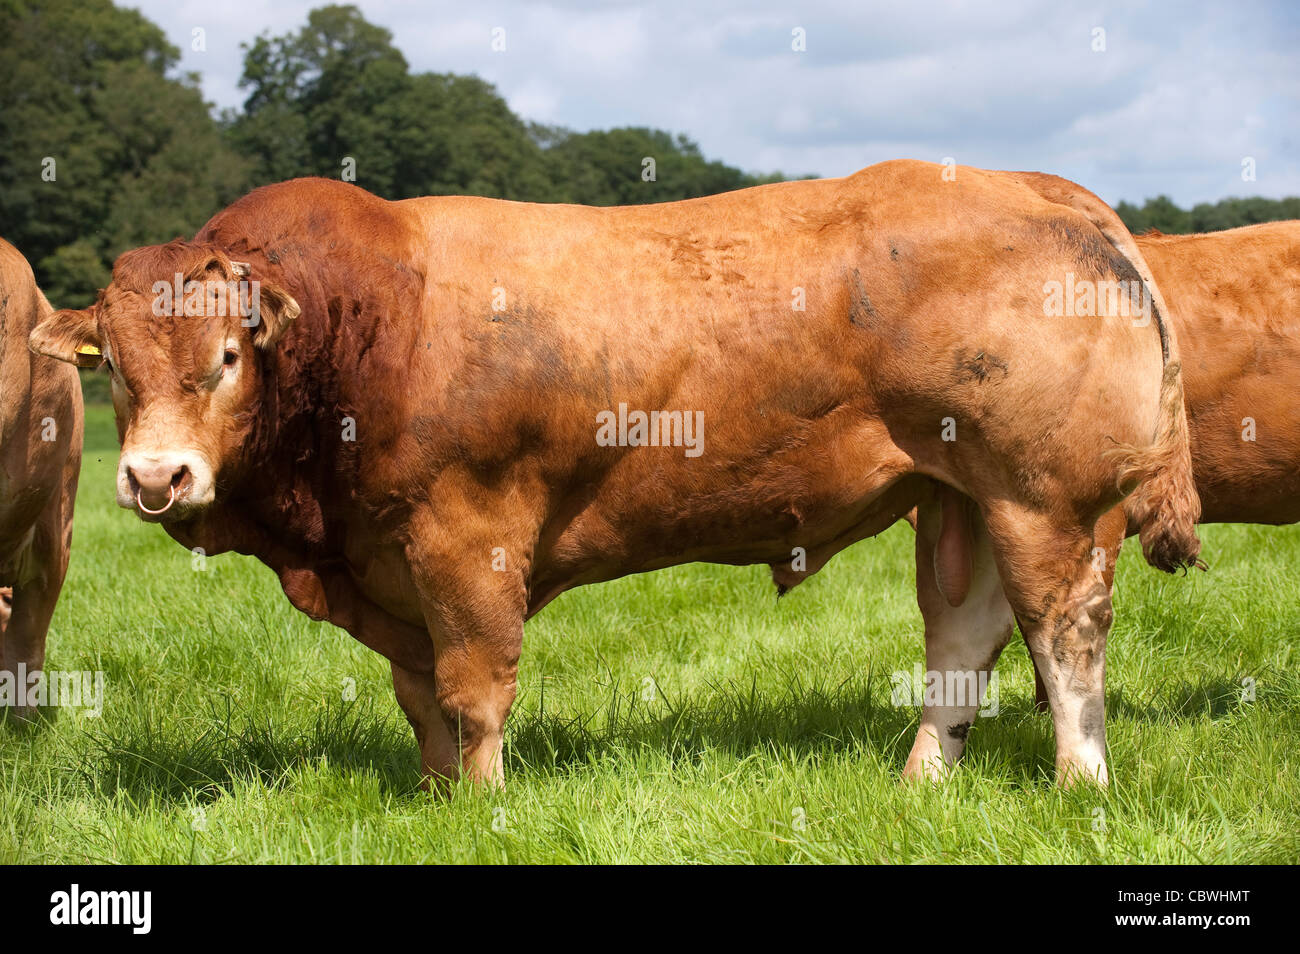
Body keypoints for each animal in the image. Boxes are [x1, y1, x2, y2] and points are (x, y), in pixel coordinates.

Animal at [28, 161, 1201, 789]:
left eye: (228, 355)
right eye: (114, 367)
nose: (156, 478)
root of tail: (1031, 184)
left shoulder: (468, 537)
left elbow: (471, 687)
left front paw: (483, 806)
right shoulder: (387, 561)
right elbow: (418, 695)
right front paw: (435, 799)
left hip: (1045, 498)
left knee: (1064, 632)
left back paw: (1078, 778)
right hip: (961, 497)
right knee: (964, 639)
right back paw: (919, 782)